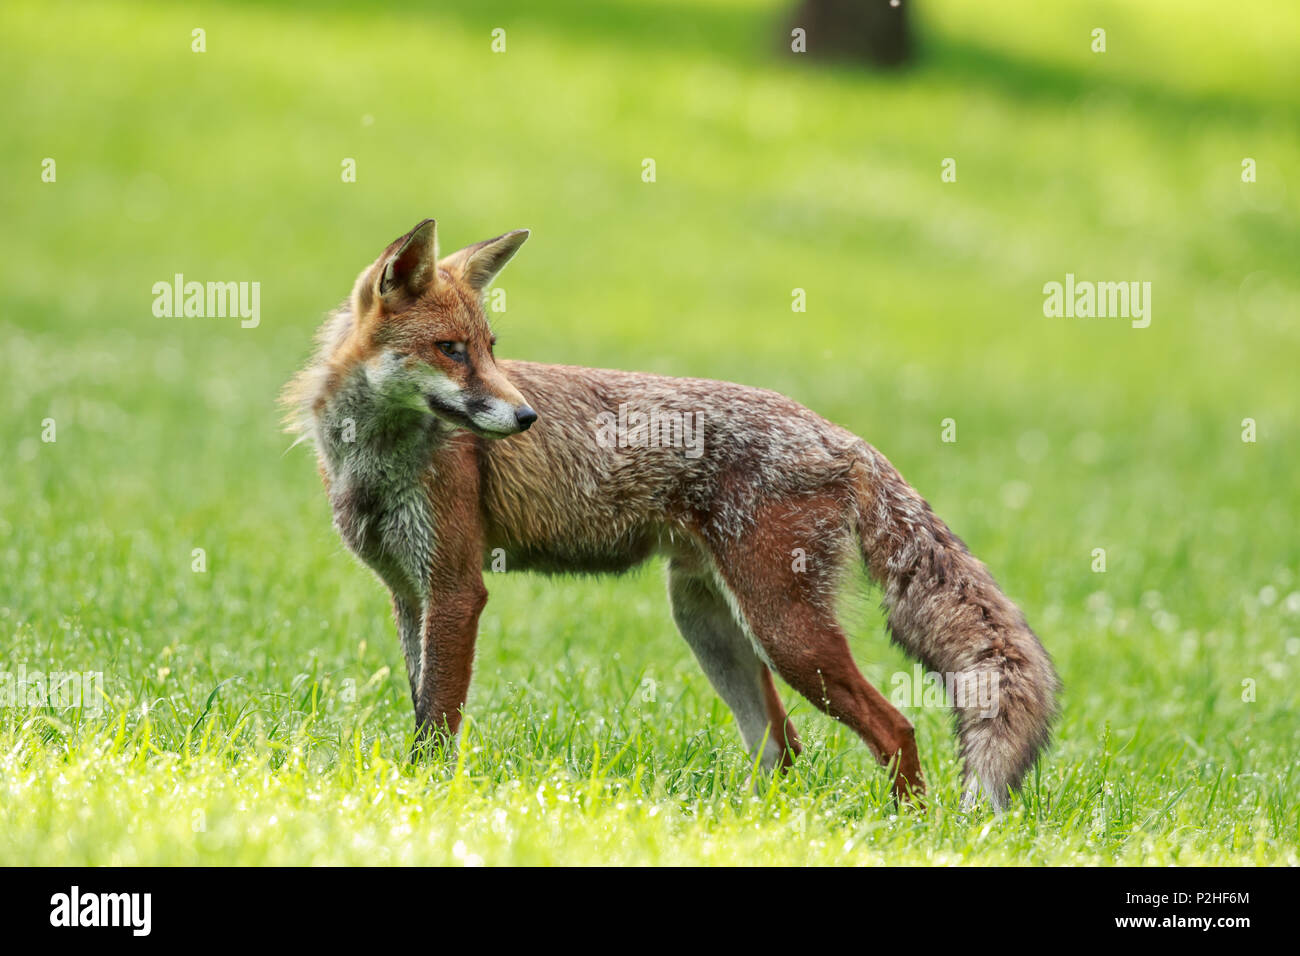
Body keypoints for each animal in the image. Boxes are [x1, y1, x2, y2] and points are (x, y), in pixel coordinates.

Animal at [283, 218, 1060, 810]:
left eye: (491, 351)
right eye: (451, 350)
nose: (527, 418)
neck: (375, 458)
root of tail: (842, 435)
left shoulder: (455, 589)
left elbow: (439, 723)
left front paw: (426, 797)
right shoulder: (409, 593)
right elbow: (422, 707)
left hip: (785, 632)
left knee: (895, 729)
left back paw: (908, 830)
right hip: (710, 624)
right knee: (783, 747)